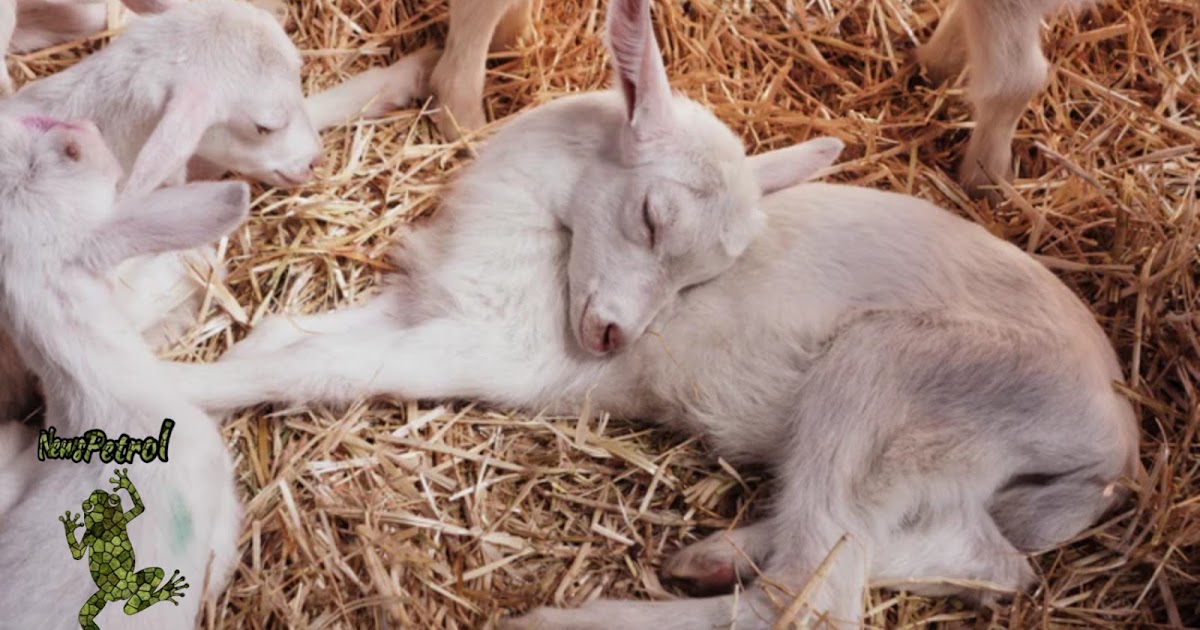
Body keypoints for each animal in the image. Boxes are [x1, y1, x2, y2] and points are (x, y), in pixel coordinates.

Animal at [169, 0, 1141, 626]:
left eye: (700, 280)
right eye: (651, 218)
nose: (610, 339)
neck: (536, 245)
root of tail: (1112, 441)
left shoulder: (490, 346)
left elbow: (319, 366)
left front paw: (174, 385)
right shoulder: (430, 299)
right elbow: (293, 336)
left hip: (893, 377)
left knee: (816, 594)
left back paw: (568, 620)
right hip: (939, 465)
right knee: (977, 559)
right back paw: (714, 554)